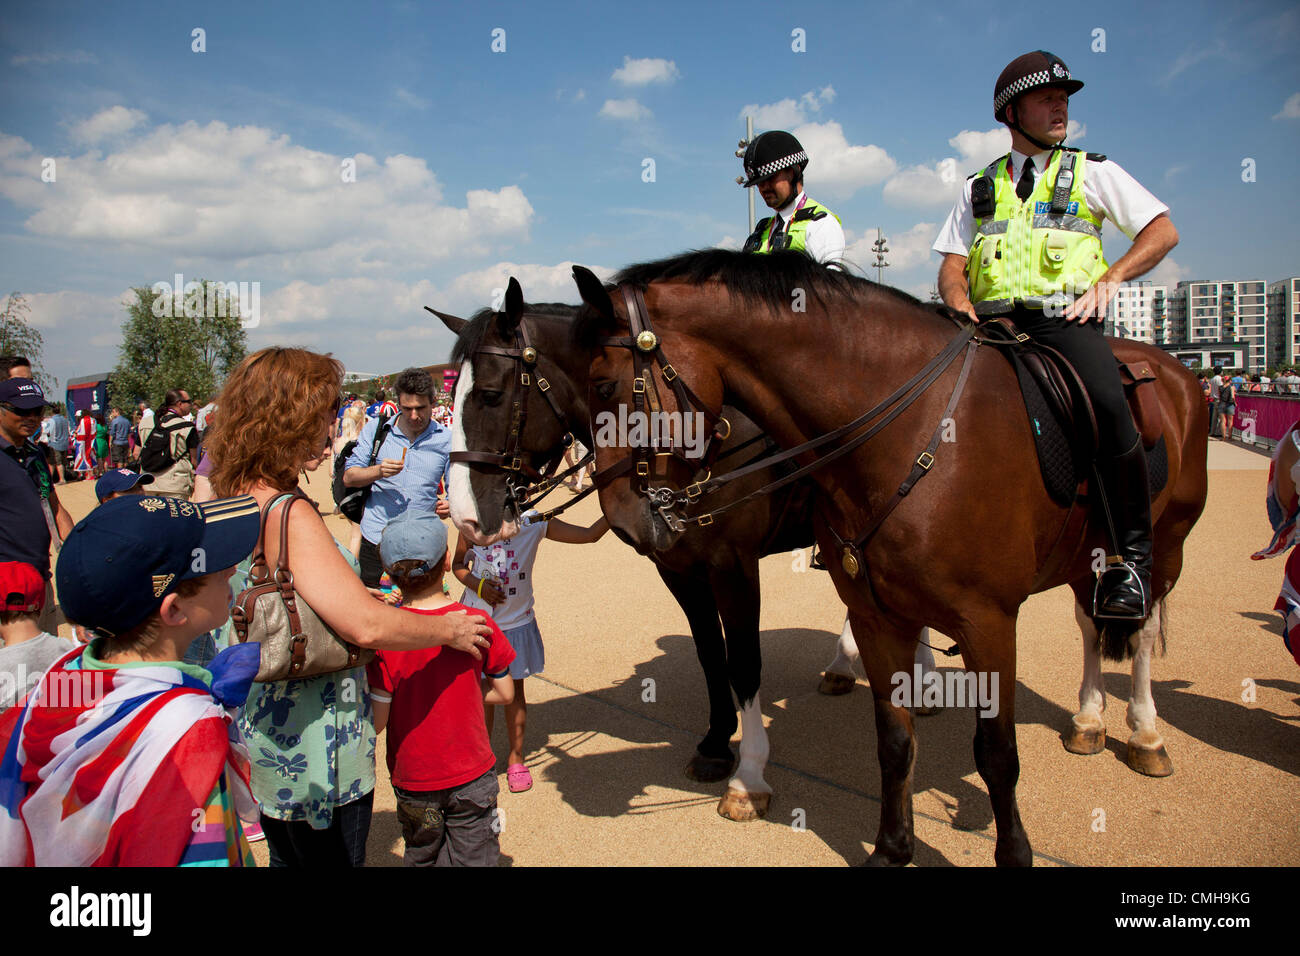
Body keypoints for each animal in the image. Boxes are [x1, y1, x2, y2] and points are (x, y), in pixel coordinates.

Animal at [436, 278, 820, 821]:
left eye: (490, 395)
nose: (464, 516)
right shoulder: (678, 567)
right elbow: (710, 652)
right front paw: (716, 743)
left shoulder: (734, 565)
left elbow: (743, 660)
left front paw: (750, 777)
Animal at [570, 249, 1208, 865]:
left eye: (601, 386)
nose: (621, 518)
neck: (909, 428)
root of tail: (1176, 371)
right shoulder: (870, 614)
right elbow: (892, 740)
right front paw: (892, 848)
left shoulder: (987, 622)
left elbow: (996, 750)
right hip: (1084, 557)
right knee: (1089, 626)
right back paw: (1088, 718)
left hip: (1165, 549)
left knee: (1141, 629)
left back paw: (1145, 733)